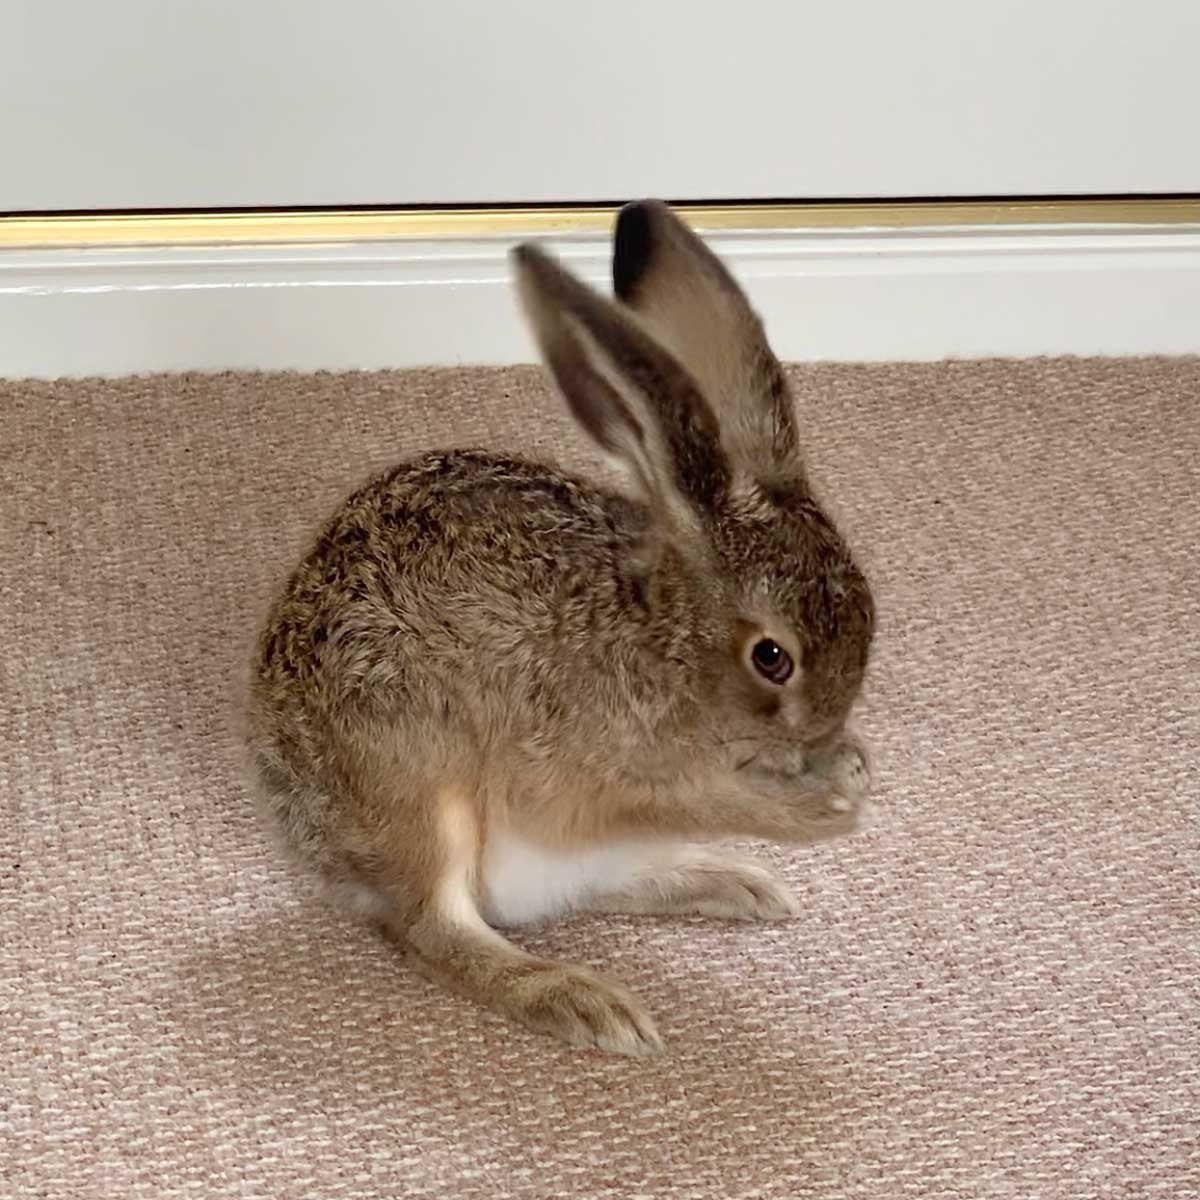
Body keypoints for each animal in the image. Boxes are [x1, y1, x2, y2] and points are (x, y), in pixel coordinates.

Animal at [244, 199, 876, 1056]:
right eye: (772, 657)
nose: (821, 740)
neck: (662, 643)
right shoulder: (588, 778)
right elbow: (695, 796)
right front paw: (822, 808)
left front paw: (845, 775)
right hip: (417, 782)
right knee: (436, 927)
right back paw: (584, 1002)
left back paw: (734, 885)